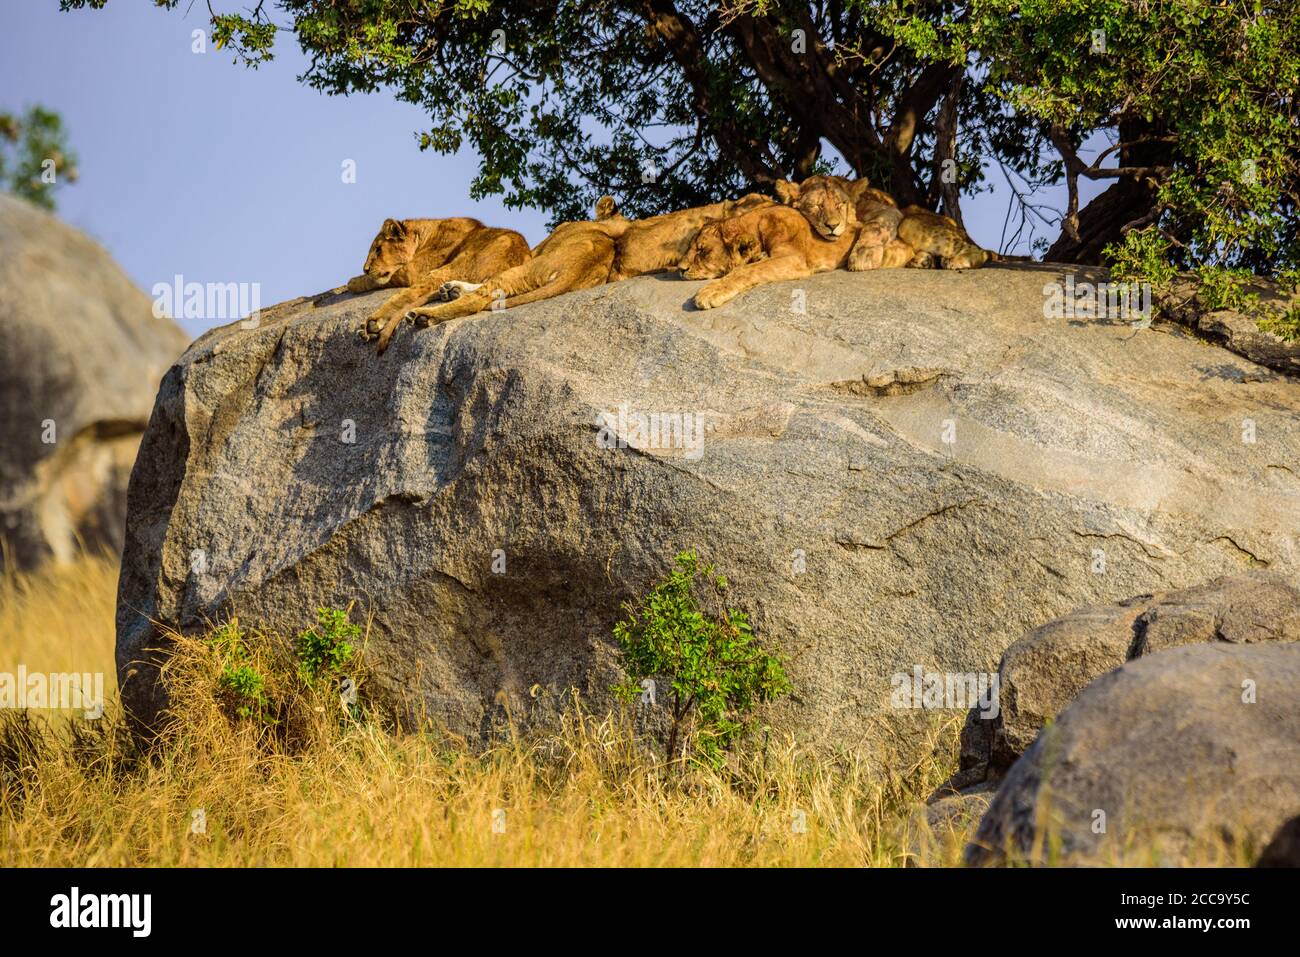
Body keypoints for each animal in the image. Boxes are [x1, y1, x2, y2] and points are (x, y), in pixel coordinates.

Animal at [678, 202, 859, 309]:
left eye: (701, 251)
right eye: (689, 248)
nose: (680, 269)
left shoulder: (794, 258)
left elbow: (745, 270)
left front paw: (710, 292)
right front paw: (760, 257)